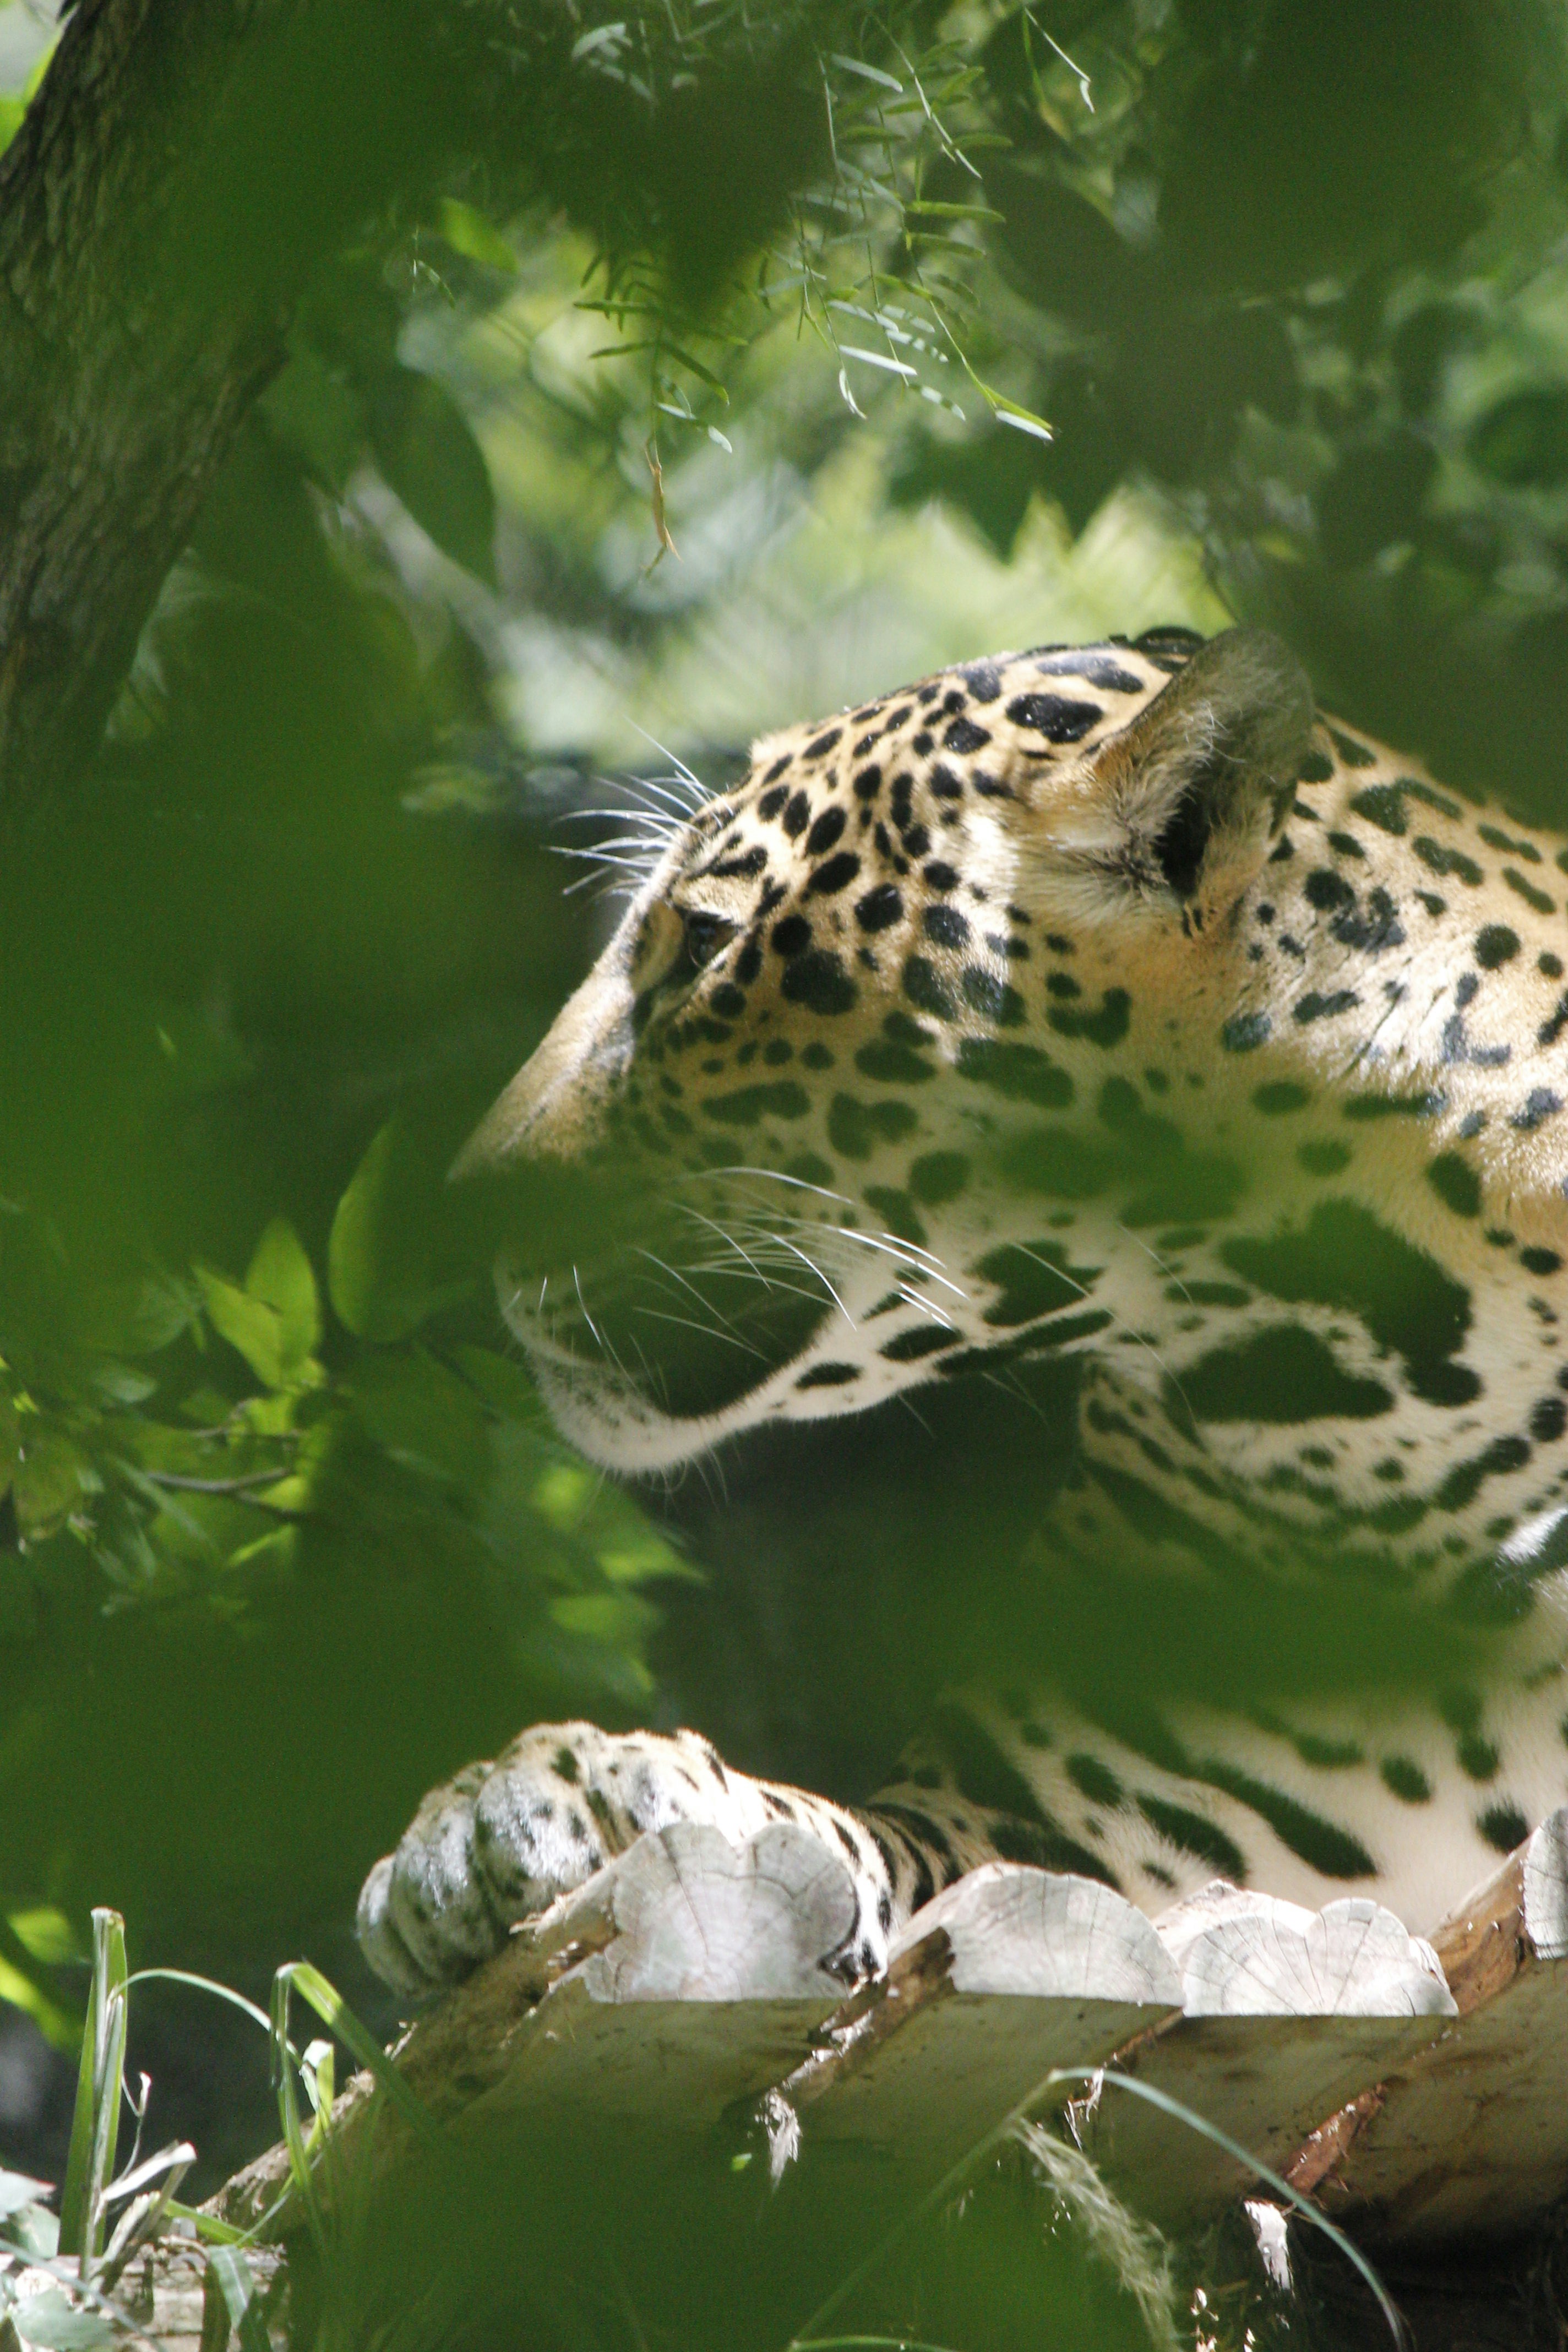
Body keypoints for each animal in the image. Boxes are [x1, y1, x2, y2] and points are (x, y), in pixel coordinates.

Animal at [357, 622, 1568, 2002]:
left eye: (702, 948)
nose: (462, 1205)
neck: (1380, 1403)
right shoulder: (1038, 1826)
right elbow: (824, 1827)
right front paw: (526, 1805)